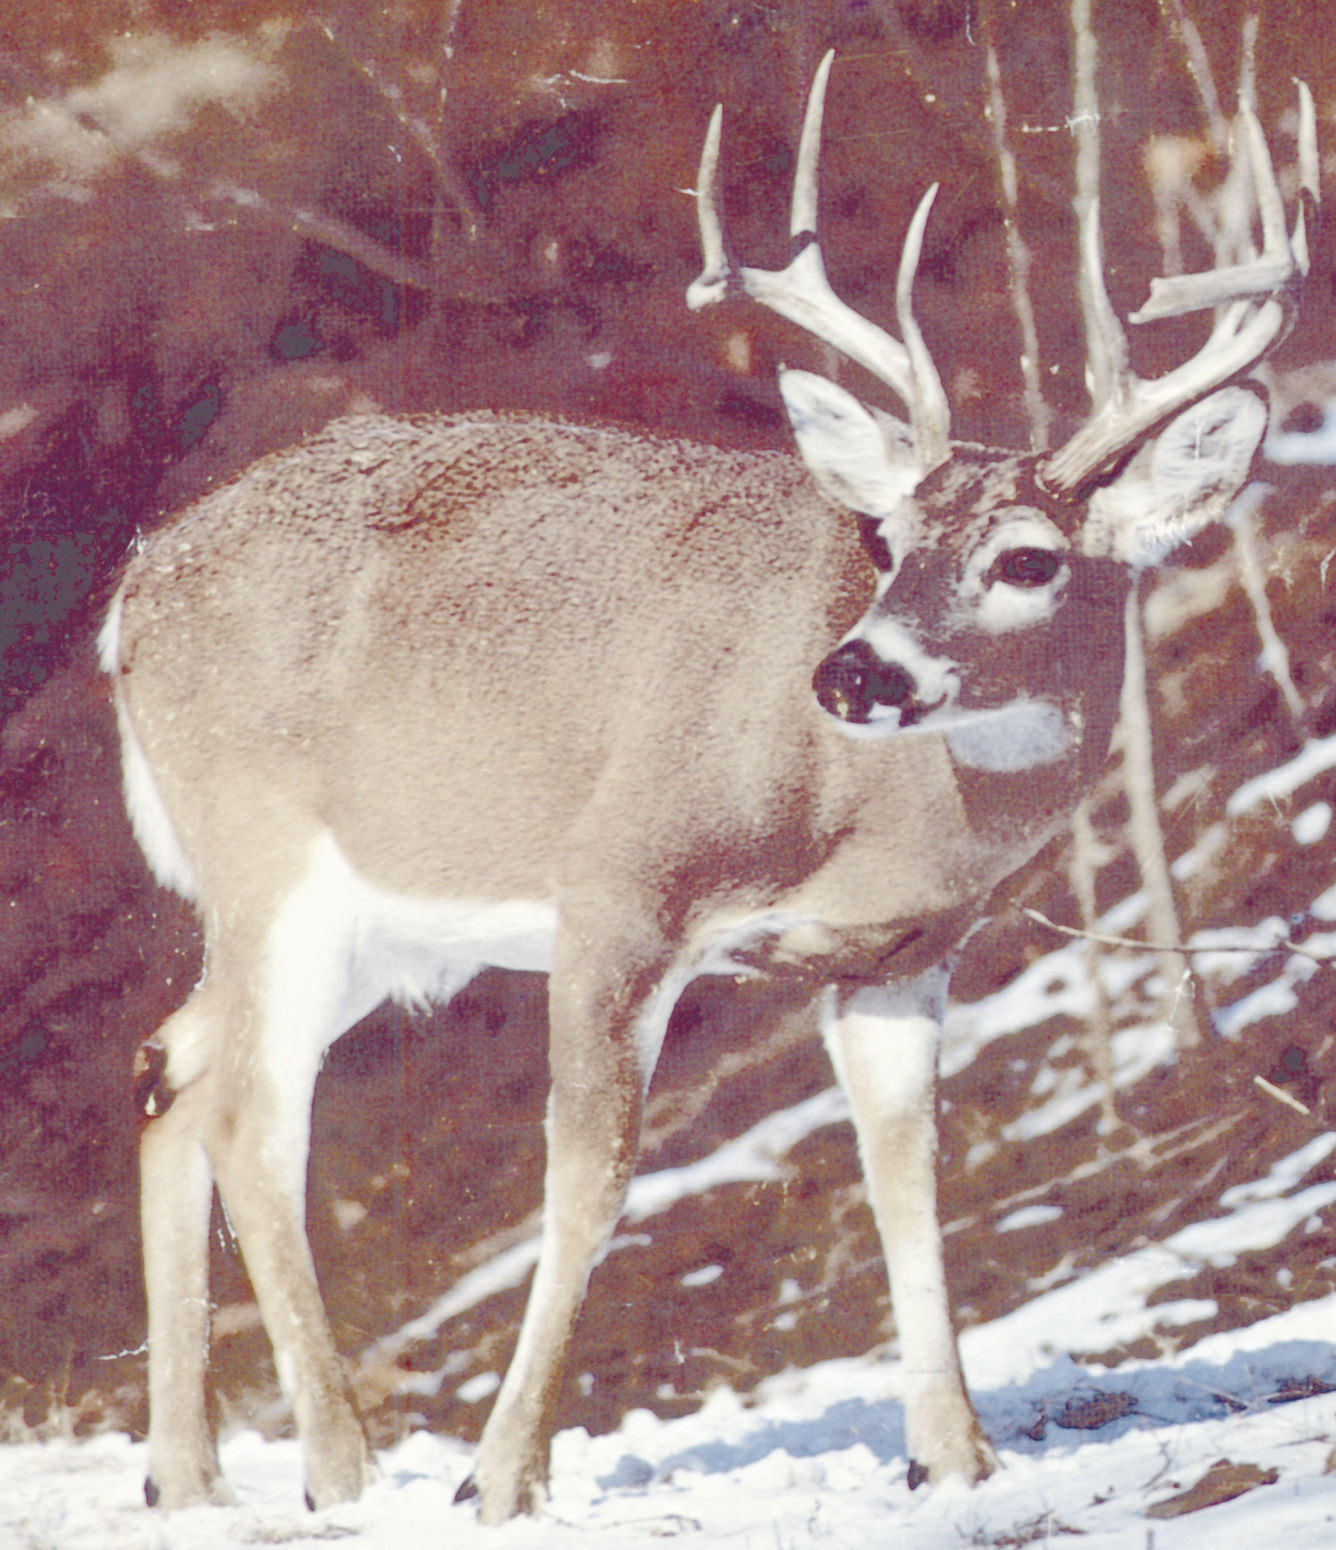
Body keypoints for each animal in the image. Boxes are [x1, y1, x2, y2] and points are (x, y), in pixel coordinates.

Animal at [99, 49, 1315, 1525]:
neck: (862, 819)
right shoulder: (619, 884)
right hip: (273, 861)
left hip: (366, 923)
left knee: (169, 1064)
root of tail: (130, 597)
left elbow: (907, 1171)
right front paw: (500, 1477)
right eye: (883, 536)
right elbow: (591, 1175)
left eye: (1029, 559)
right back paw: (346, 1470)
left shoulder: (896, 958)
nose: (854, 669)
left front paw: (955, 1456)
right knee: (249, 1115)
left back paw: (185, 1475)